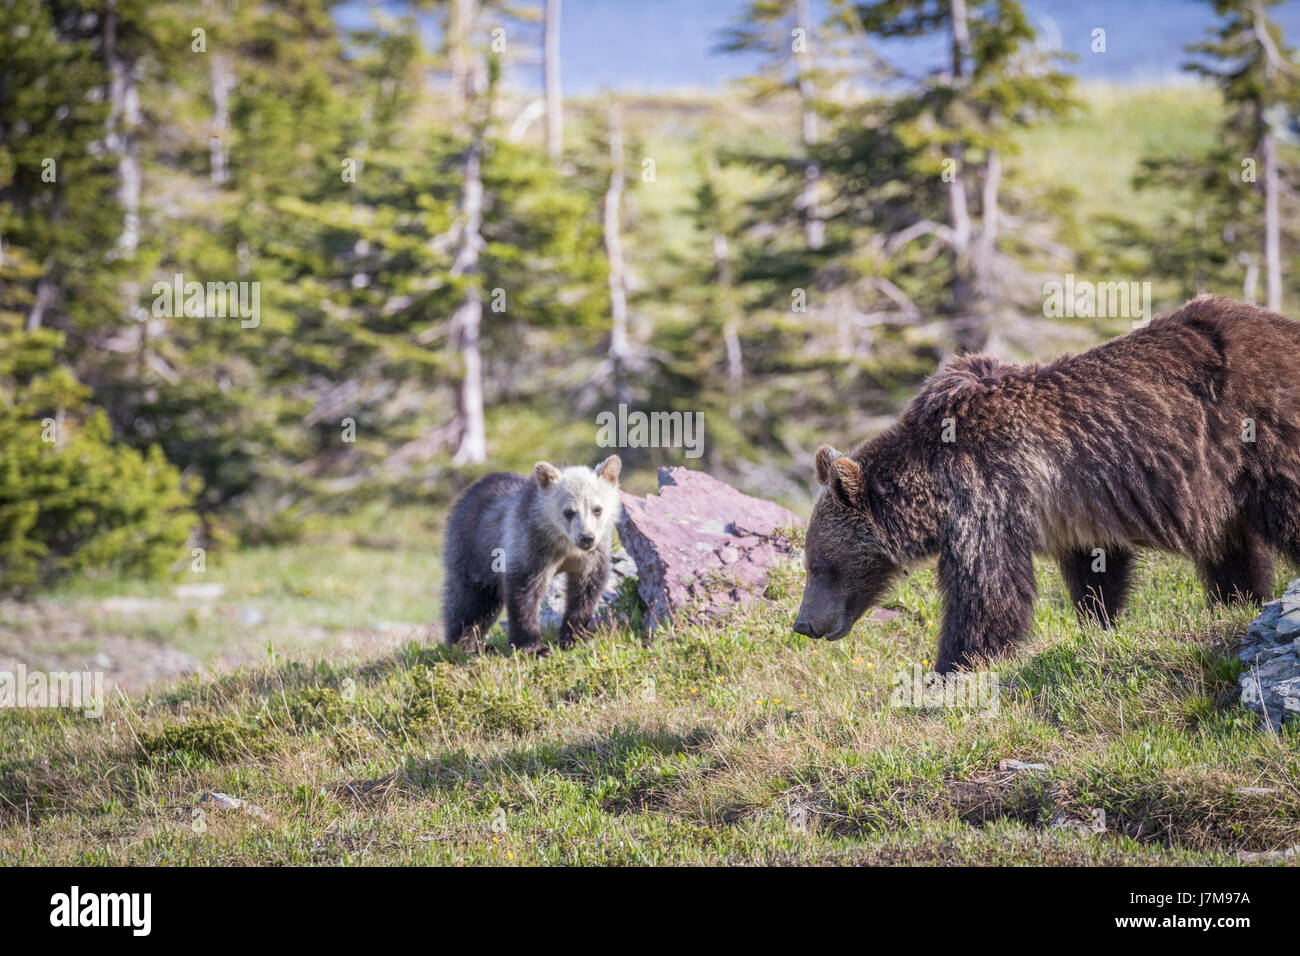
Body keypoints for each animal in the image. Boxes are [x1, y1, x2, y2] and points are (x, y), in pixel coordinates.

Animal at [442, 455, 622, 653]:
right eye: (569, 512)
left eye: (597, 509)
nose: (586, 538)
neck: (562, 543)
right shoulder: (530, 546)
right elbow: (524, 593)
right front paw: (534, 647)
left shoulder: (591, 556)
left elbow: (585, 591)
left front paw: (573, 638)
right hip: (473, 550)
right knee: (472, 602)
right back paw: (465, 645)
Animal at [793, 295, 1300, 673]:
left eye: (818, 564)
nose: (803, 624)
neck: (933, 485)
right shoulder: (1078, 511)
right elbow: (1096, 573)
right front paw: (1098, 625)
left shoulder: (986, 495)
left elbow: (988, 594)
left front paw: (953, 668)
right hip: (1225, 485)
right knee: (1233, 548)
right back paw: (1239, 602)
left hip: (1262, 435)